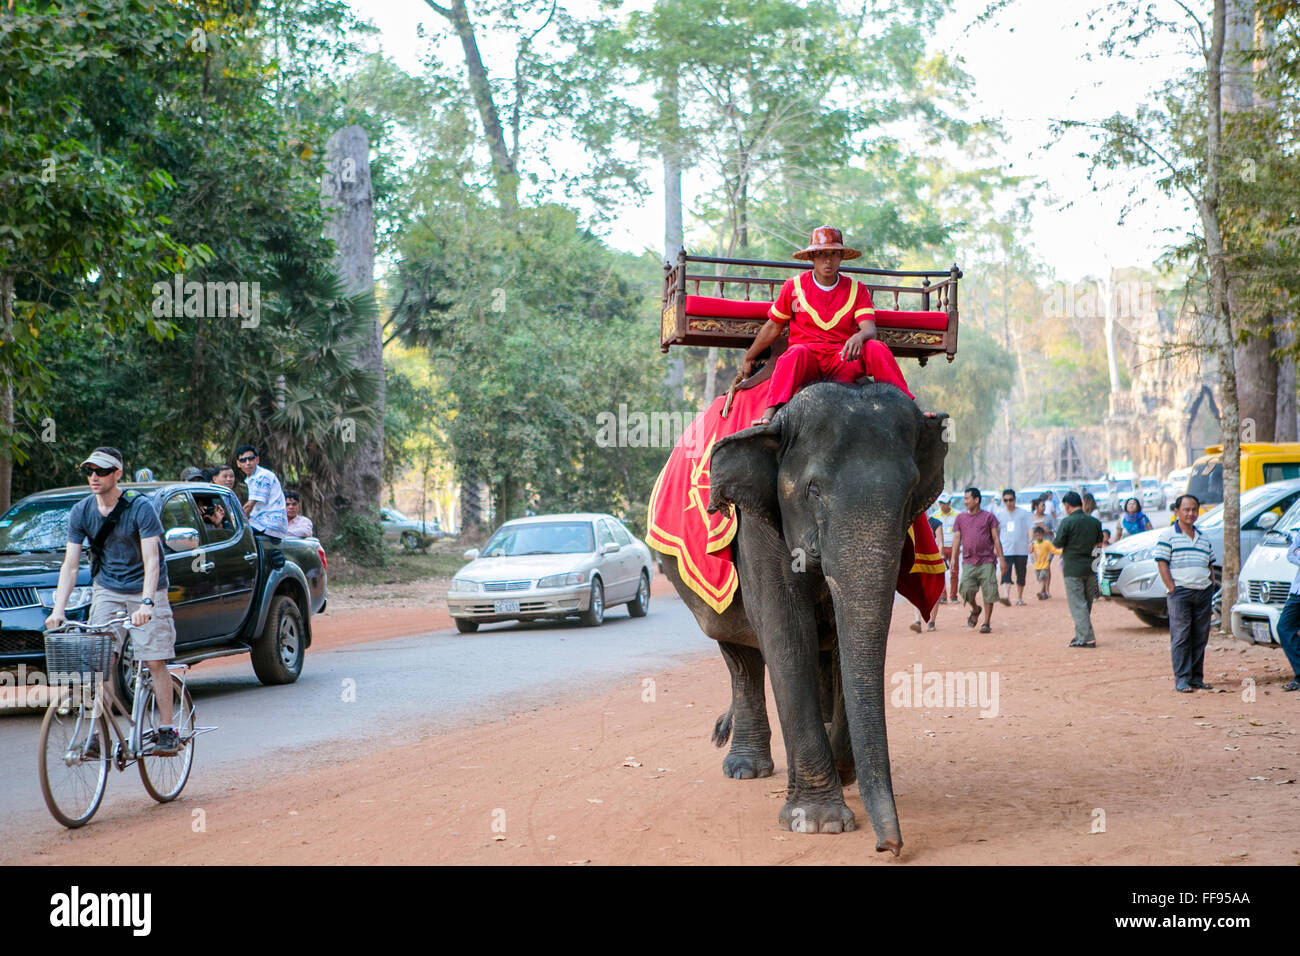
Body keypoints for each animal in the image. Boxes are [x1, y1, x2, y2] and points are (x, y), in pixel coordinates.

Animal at [659, 379, 947, 854]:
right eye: (813, 490)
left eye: (909, 495)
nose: (889, 846)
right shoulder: (758, 524)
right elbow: (787, 636)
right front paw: (818, 821)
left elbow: (850, 640)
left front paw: (844, 774)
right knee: (740, 655)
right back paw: (745, 768)